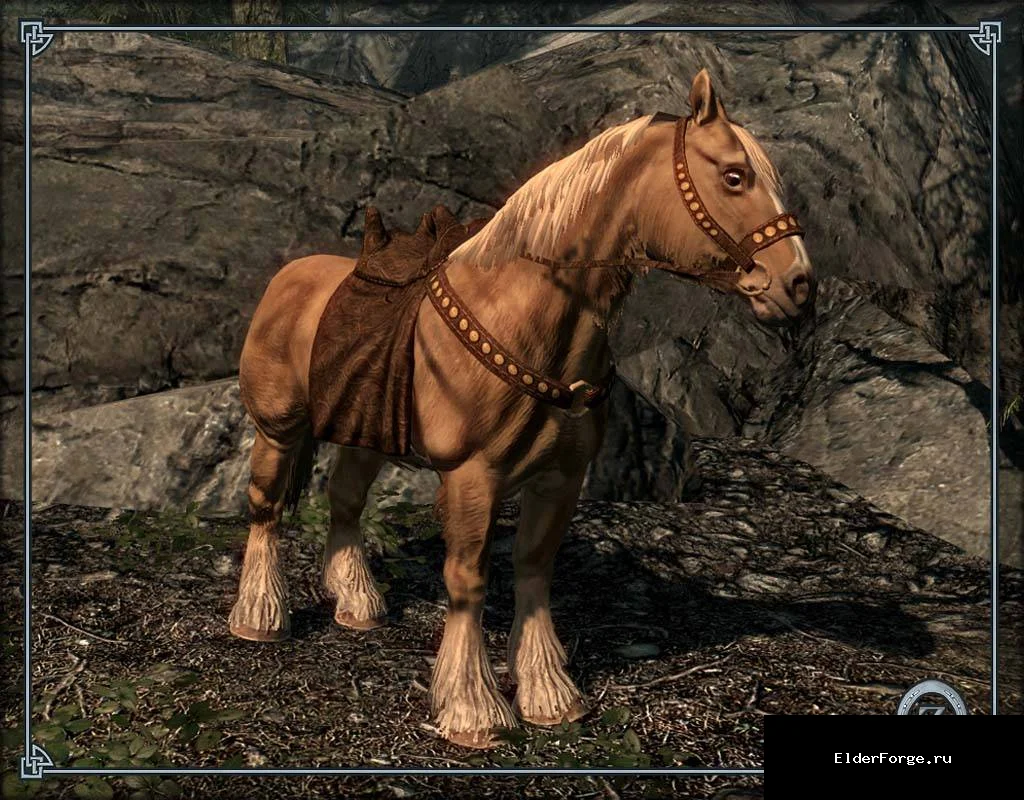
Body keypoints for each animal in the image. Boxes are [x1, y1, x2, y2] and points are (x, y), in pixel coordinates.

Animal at [228, 69, 815, 749]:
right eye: (734, 176)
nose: (798, 285)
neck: (527, 318)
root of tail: (289, 275)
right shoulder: (472, 479)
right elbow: (468, 579)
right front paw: (472, 709)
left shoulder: (559, 480)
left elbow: (534, 570)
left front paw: (549, 695)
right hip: (278, 428)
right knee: (266, 508)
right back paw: (259, 617)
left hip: (364, 432)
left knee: (345, 498)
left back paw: (357, 606)